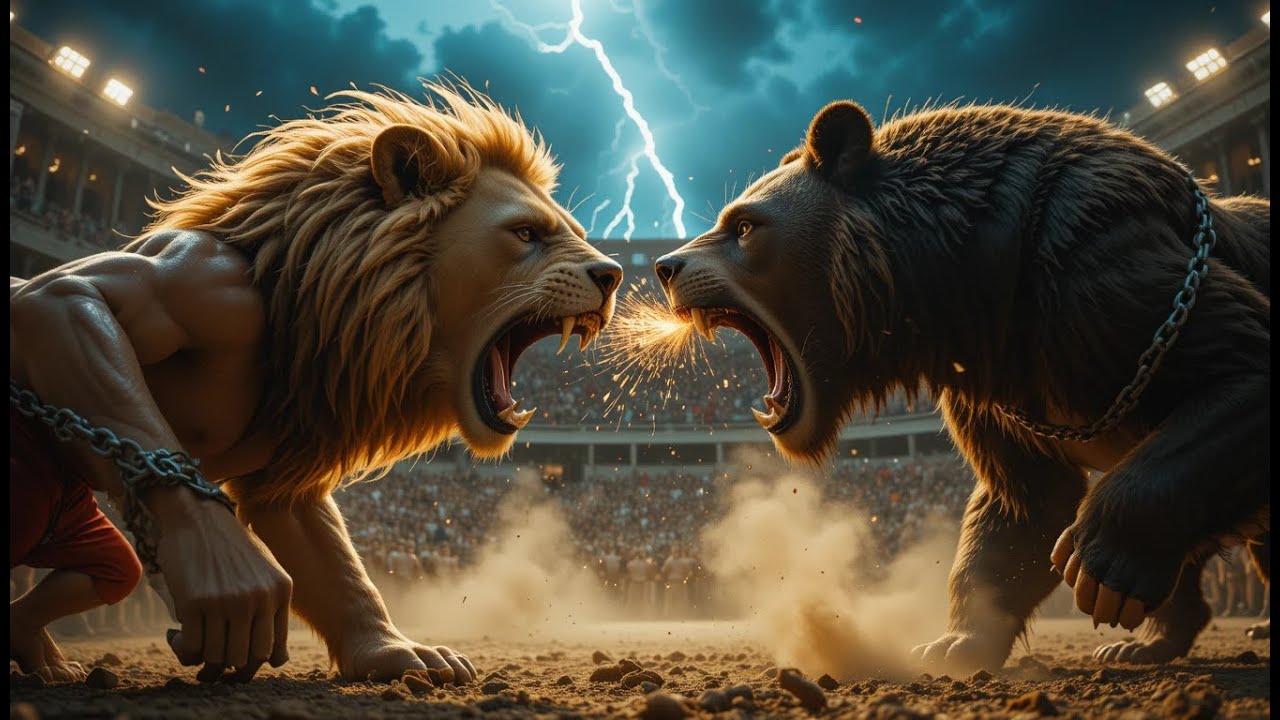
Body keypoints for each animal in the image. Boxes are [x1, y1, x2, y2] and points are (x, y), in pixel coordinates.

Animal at [9, 82, 622, 682]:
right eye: (526, 233)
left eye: (575, 234)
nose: (612, 273)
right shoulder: (199, 286)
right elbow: (65, 293)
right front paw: (225, 573)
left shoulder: (289, 473)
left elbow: (336, 569)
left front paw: (392, 652)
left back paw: (40, 651)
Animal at [655, 100, 1269, 670]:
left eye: (744, 226)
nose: (664, 266)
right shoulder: (997, 400)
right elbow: (1016, 515)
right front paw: (957, 644)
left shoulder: (1111, 283)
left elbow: (1230, 383)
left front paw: (1097, 562)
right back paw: (1143, 643)